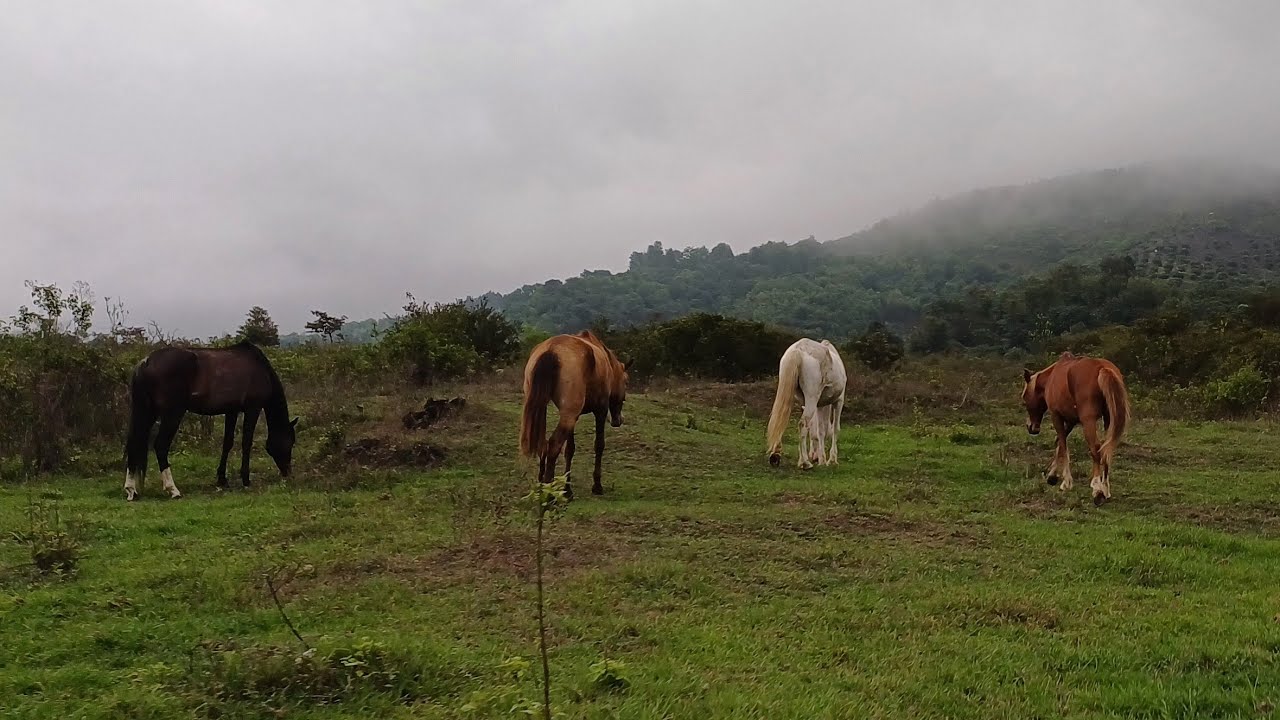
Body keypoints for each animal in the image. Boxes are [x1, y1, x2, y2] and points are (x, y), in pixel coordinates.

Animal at [124, 341, 298, 501]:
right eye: (289, 442)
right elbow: (246, 443)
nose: (288, 473)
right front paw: (246, 479)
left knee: (134, 443)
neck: (259, 367)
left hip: (148, 412)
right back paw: (173, 489)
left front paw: (222, 479)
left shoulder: (231, 411)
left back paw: (131, 490)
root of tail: (146, 362)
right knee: (160, 446)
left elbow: (227, 443)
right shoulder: (252, 409)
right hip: (172, 413)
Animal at [519, 330, 630, 500]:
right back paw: (549, 494)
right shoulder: (600, 411)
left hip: (549, 411)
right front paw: (597, 486)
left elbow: (569, 450)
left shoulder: (572, 417)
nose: (618, 420)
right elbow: (599, 445)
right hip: (569, 415)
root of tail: (551, 350)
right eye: (626, 382)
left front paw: (567, 489)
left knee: (543, 444)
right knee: (553, 445)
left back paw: (541, 487)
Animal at [766, 338, 847, 469]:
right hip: (811, 399)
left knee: (780, 417)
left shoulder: (820, 405)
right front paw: (831, 460)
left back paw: (775, 455)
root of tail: (798, 350)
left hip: (788, 391)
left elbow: (819, 431)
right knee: (803, 423)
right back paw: (805, 462)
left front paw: (821, 459)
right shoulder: (838, 402)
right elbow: (834, 429)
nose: (814, 457)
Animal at [1021, 351, 1130, 505]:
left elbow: (1063, 444)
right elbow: (1060, 443)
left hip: (1088, 421)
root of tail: (1102, 368)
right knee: (1106, 448)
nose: (1031, 427)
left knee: (1096, 448)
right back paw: (1105, 488)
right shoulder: (1072, 420)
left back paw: (1097, 489)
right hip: (1109, 419)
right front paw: (1052, 475)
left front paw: (1065, 482)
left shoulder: (1056, 416)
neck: (1052, 376)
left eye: (1025, 398)